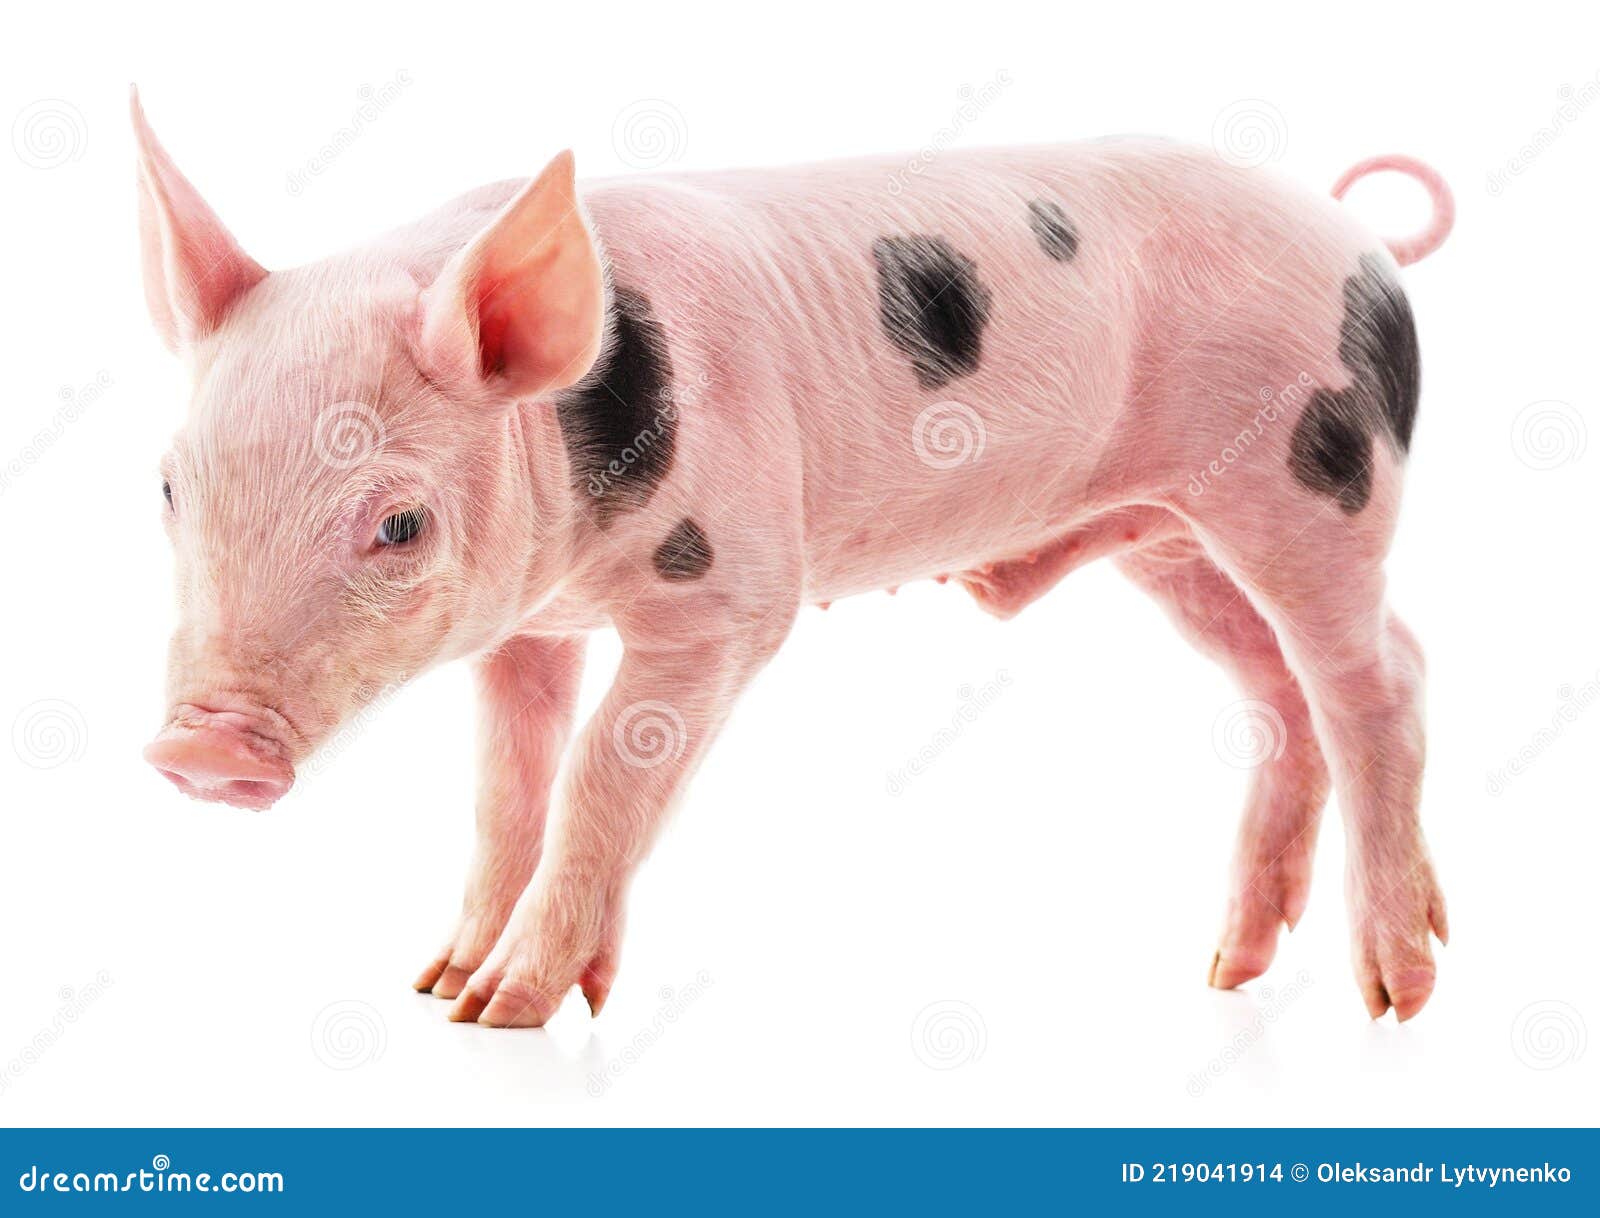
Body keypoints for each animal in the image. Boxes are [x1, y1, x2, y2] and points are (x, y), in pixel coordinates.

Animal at [135, 87, 1453, 1026]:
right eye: (167, 488)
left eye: (398, 523)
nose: (199, 748)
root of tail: (1360, 239)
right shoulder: (530, 622)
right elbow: (509, 785)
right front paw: (441, 983)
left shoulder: (731, 593)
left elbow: (600, 772)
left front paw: (503, 1012)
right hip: (1175, 537)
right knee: (1280, 689)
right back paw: (1230, 972)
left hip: (1313, 480)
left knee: (1379, 674)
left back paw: (1394, 991)